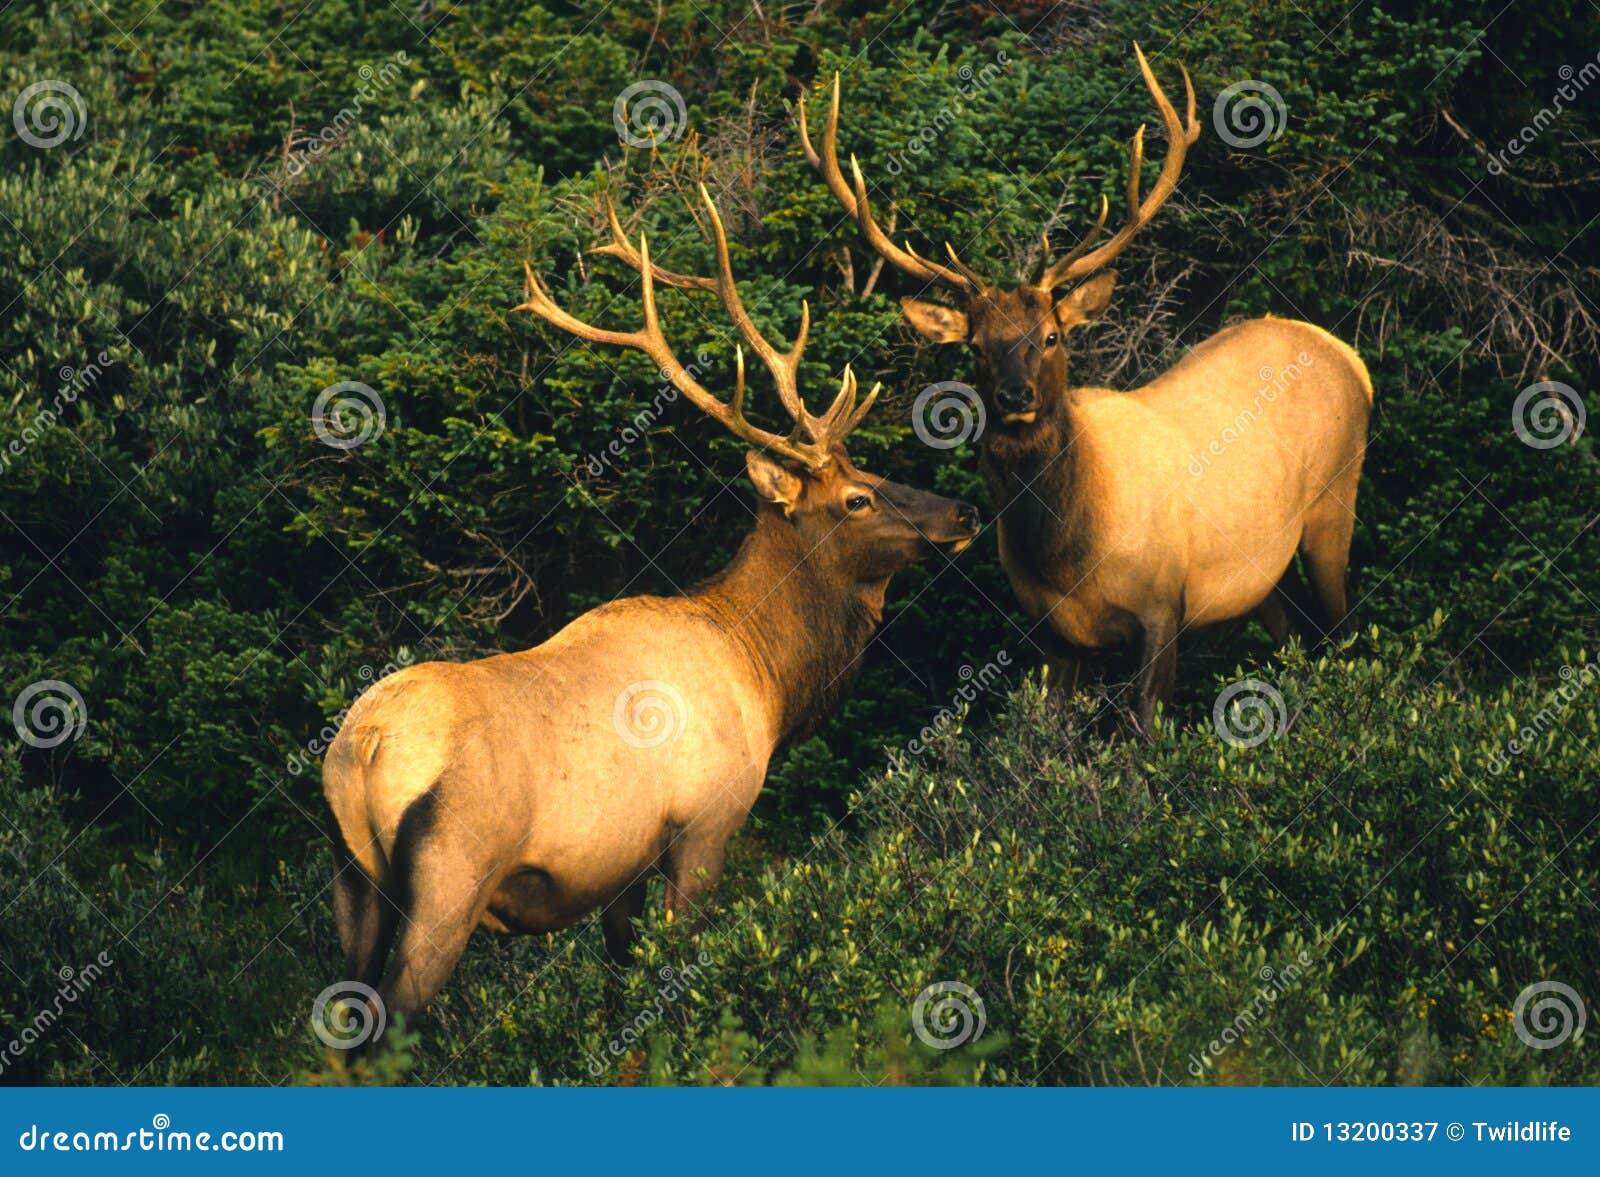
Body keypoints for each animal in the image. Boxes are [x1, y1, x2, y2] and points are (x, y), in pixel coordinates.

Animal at [321, 186, 979, 1036]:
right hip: (447, 880)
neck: (765, 678)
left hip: (352, 885)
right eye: (857, 496)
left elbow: (618, 987)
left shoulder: (621, 868)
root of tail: (361, 747)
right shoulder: (705, 824)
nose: (962, 512)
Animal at [799, 45, 1373, 731]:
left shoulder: (1164, 607)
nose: (1016, 397)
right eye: (976, 346)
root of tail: (1346, 354)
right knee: (1293, 637)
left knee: (1344, 631)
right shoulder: (1053, 633)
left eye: (1051, 336)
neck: (1067, 552)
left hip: (1335, 502)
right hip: (1260, 575)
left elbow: (1144, 730)